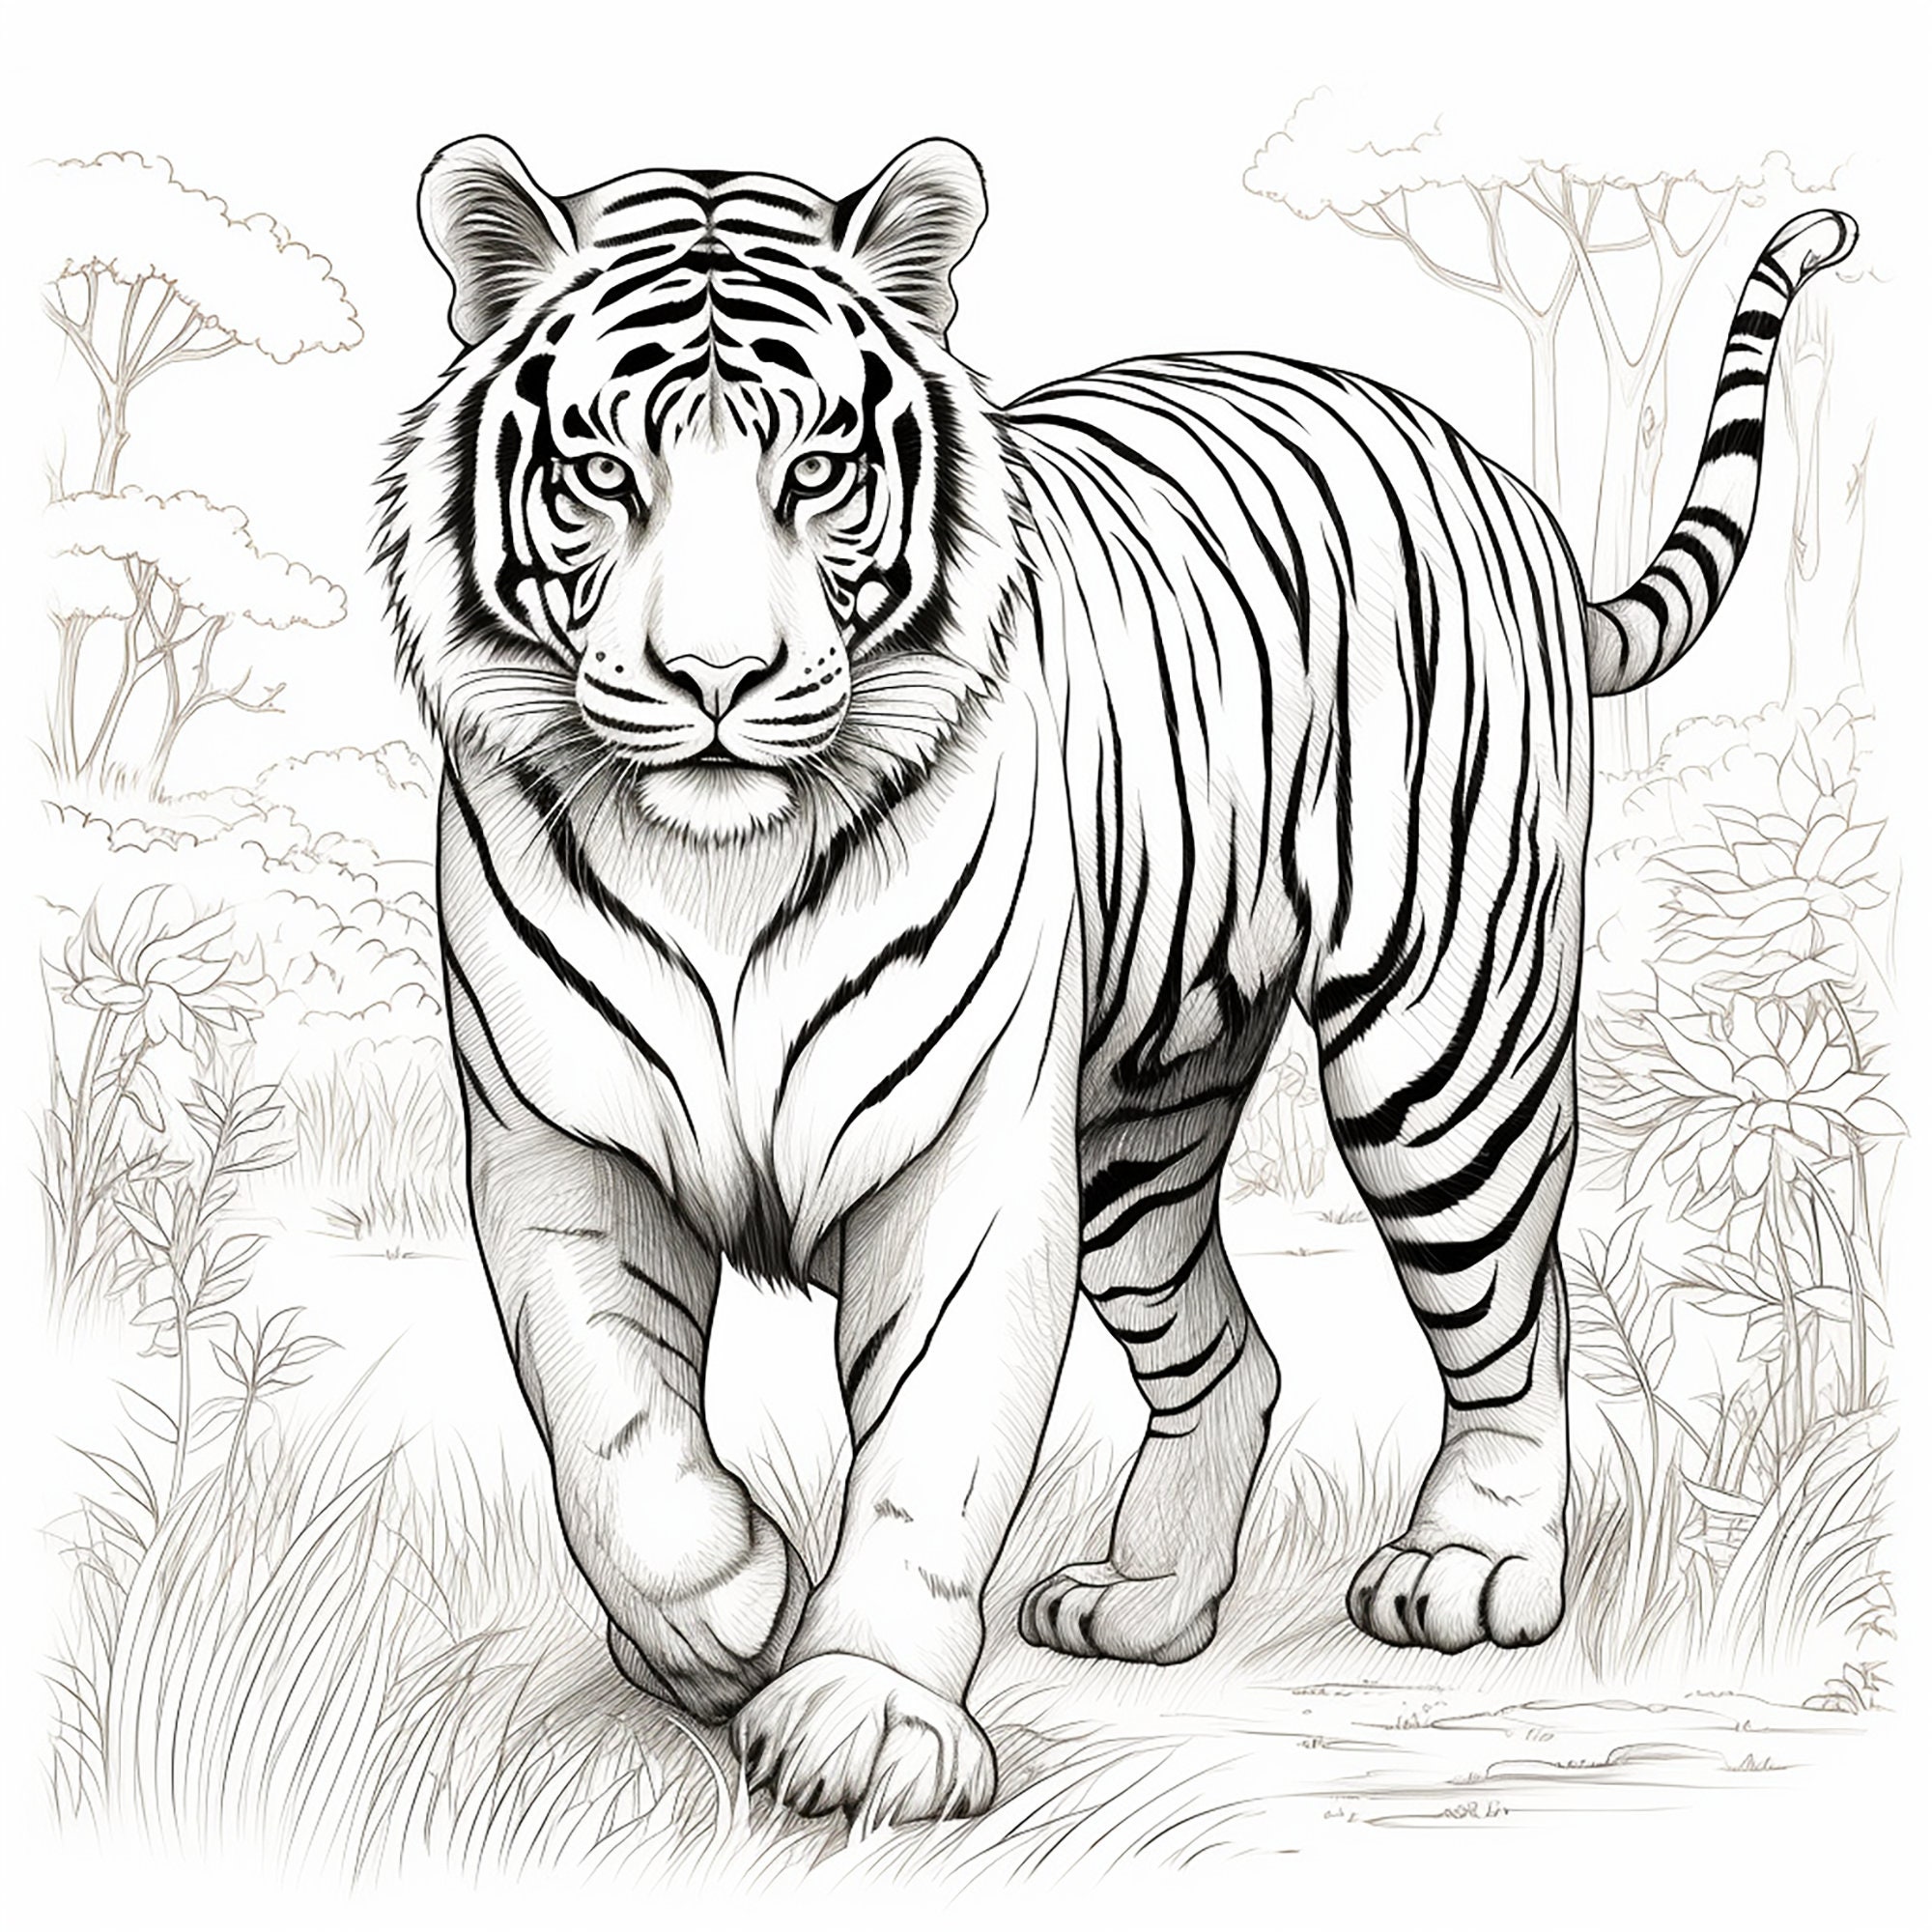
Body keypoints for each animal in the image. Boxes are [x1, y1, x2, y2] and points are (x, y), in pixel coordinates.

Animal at [377, 132, 1855, 1826]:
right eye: (604, 474)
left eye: (814, 473)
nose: (715, 680)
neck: (721, 862)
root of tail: (1501, 489)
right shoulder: (561, 1146)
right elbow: (616, 1438)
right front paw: (724, 1619)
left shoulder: (959, 1162)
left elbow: (932, 1449)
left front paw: (862, 1718)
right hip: (1133, 1122)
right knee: (1234, 1353)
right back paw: (1144, 1603)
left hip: (1440, 1052)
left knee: (1513, 1318)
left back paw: (1470, 1571)